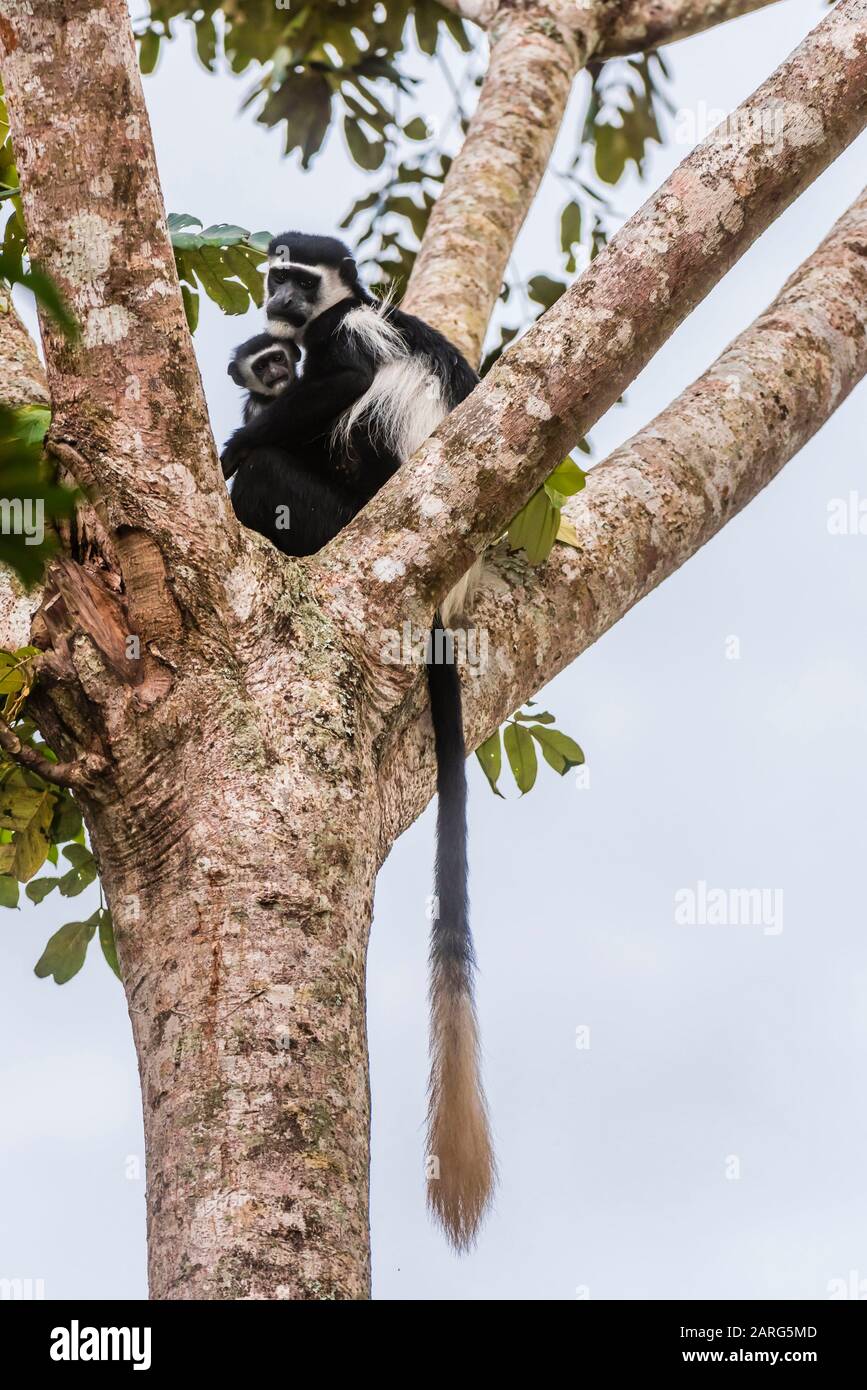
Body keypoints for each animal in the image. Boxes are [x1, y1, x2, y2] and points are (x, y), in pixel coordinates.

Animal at [222, 232, 494, 1249]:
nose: (278, 299)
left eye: (298, 277)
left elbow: (335, 385)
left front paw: (240, 437)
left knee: (283, 468)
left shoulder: (343, 335)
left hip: (342, 507)